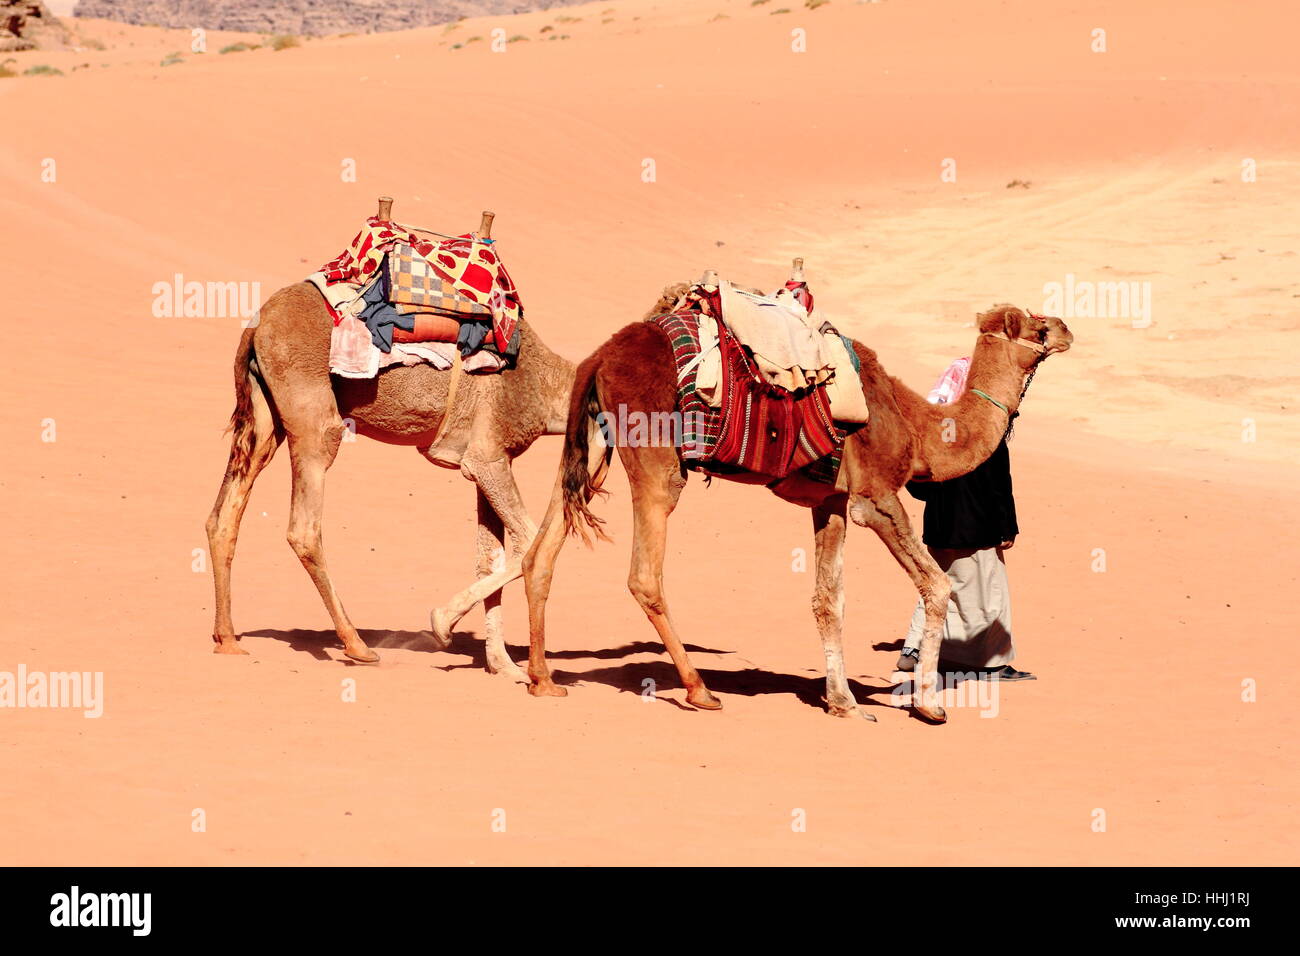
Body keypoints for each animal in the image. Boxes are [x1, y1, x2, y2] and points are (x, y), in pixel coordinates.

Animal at [205, 200, 574, 680]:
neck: (546, 385)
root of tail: (257, 324)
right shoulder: (489, 457)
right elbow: (531, 539)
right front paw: (444, 626)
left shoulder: (485, 461)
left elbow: (489, 555)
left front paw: (502, 665)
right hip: (313, 417)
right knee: (304, 527)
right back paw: (357, 645)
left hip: (265, 417)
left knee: (224, 515)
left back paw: (228, 638)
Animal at [521, 272, 1073, 722]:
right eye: (1036, 327)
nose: (1066, 327)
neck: (919, 430)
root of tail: (599, 356)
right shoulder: (876, 497)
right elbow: (936, 585)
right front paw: (929, 706)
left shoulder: (829, 502)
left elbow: (828, 600)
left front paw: (843, 703)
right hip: (657, 456)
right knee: (643, 575)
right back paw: (700, 690)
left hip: (593, 442)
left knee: (540, 553)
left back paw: (543, 681)